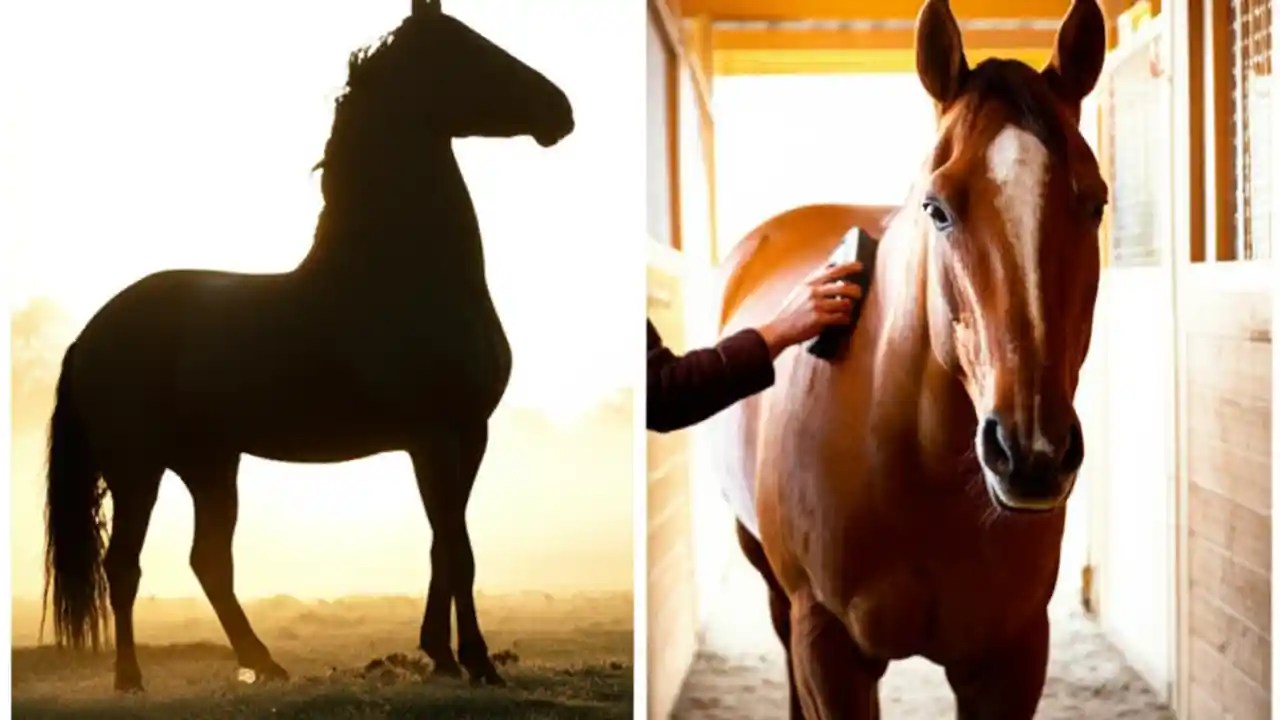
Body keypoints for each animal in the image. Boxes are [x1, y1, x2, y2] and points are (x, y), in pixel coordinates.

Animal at [41, 0, 573, 693]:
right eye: (467, 47)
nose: (560, 109)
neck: (400, 274)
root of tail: (89, 335)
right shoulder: (434, 435)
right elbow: (459, 549)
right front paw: (478, 662)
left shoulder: (468, 434)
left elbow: (444, 541)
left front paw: (442, 652)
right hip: (139, 469)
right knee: (124, 565)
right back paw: (131, 677)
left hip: (210, 465)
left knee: (208, 561)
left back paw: (263, 662)